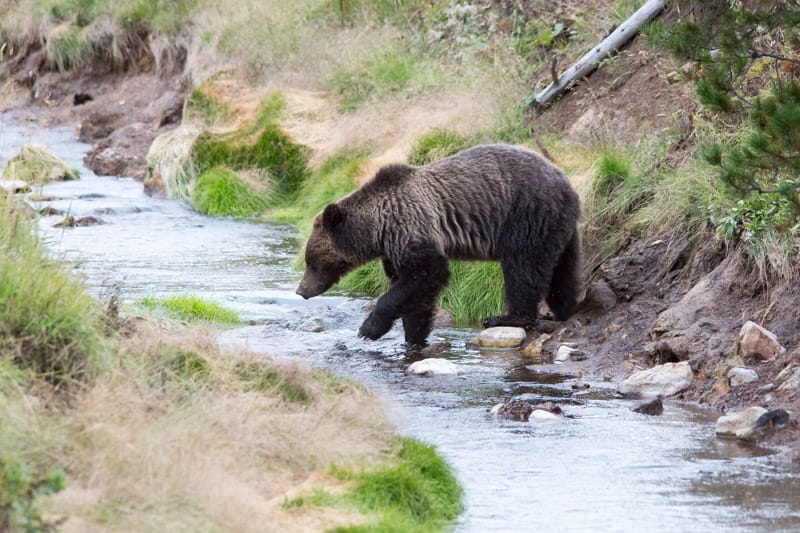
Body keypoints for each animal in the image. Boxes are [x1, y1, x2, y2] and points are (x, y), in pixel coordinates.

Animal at [295, 143, 581, 345]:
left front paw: (369, 328)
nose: (301, 290)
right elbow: (415, 292)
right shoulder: (393, 250)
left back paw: (505, 317)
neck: (378, 229)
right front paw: (414, 334)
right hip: (559, 227)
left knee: (523, 268)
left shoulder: (410, 228)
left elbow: (425, 273)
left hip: (527, 215)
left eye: (312, 262)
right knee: (563, 269)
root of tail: (567, 183)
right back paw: (562, 309)